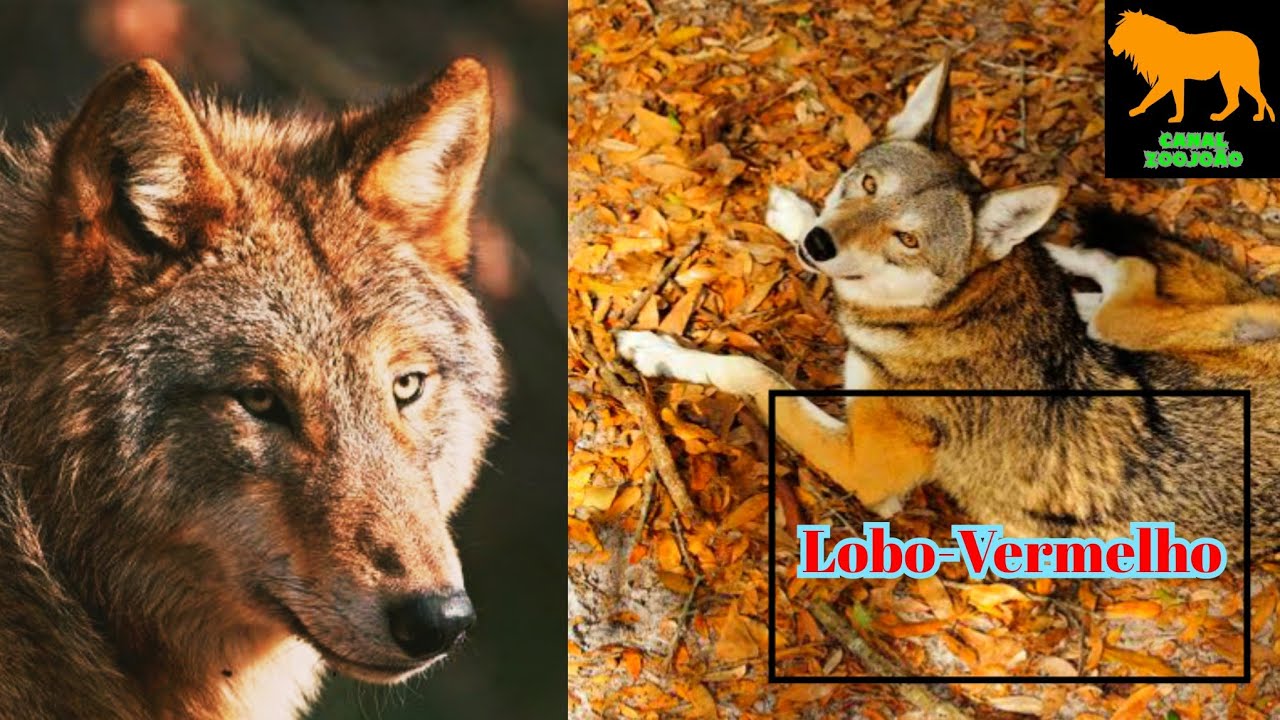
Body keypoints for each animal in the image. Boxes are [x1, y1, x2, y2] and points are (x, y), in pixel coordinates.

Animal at [618, 57, 1278, 559]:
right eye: (868, 186)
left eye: (907, 240)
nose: (821, 244)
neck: (944, 315)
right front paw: (795, 215)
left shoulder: (869, 473)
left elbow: (752, 371)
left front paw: (658, 350)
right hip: (1134, 331)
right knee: (1119, 279)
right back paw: (1059, 260)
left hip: (1135, 327)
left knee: (1132, 270)